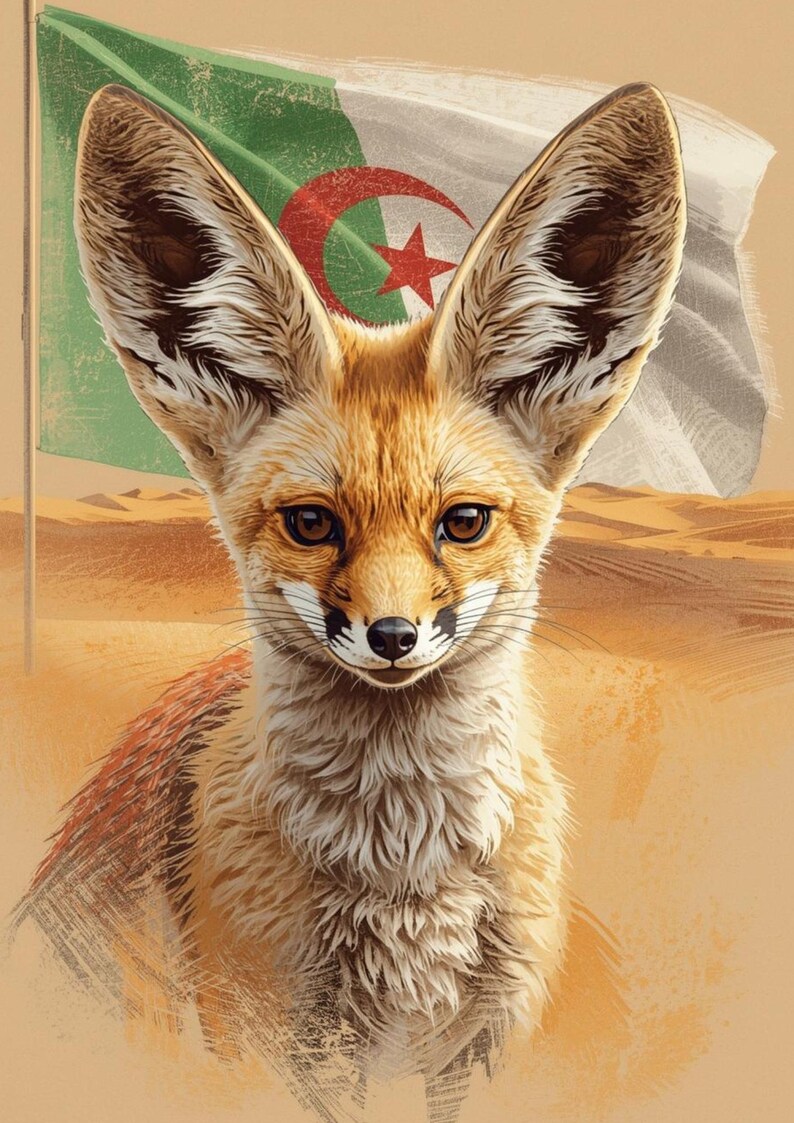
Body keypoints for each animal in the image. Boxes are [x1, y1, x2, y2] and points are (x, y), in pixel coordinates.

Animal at [17, 81, 685, 1120]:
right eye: (311, 523)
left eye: (462, 521)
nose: (393, 635)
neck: (405, 881)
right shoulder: (270, 1035)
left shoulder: (484, 1047)